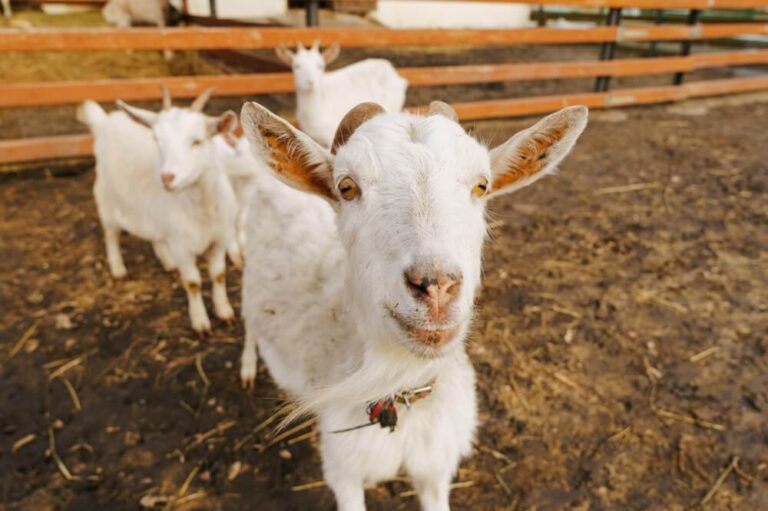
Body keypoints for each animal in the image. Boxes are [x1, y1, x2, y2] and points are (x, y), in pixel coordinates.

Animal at [77, 88, 240, 335]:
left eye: (197, 141)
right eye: (156, 139)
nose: (167, 178)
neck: (201, 209)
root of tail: (105, 121)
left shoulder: (219, 238)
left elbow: (218, 274)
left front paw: (224, 312)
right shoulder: (182, 246)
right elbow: (193, 283)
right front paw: (200, 322)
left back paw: (167, 261)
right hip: (106, 197)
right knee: (111, 233)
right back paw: (118, 268)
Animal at [239, 99, 588, 510]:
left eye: (481, 185)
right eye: (346, 187)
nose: (437, 286)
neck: (402, 392)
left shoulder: (436, 465)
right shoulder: (344, 467)